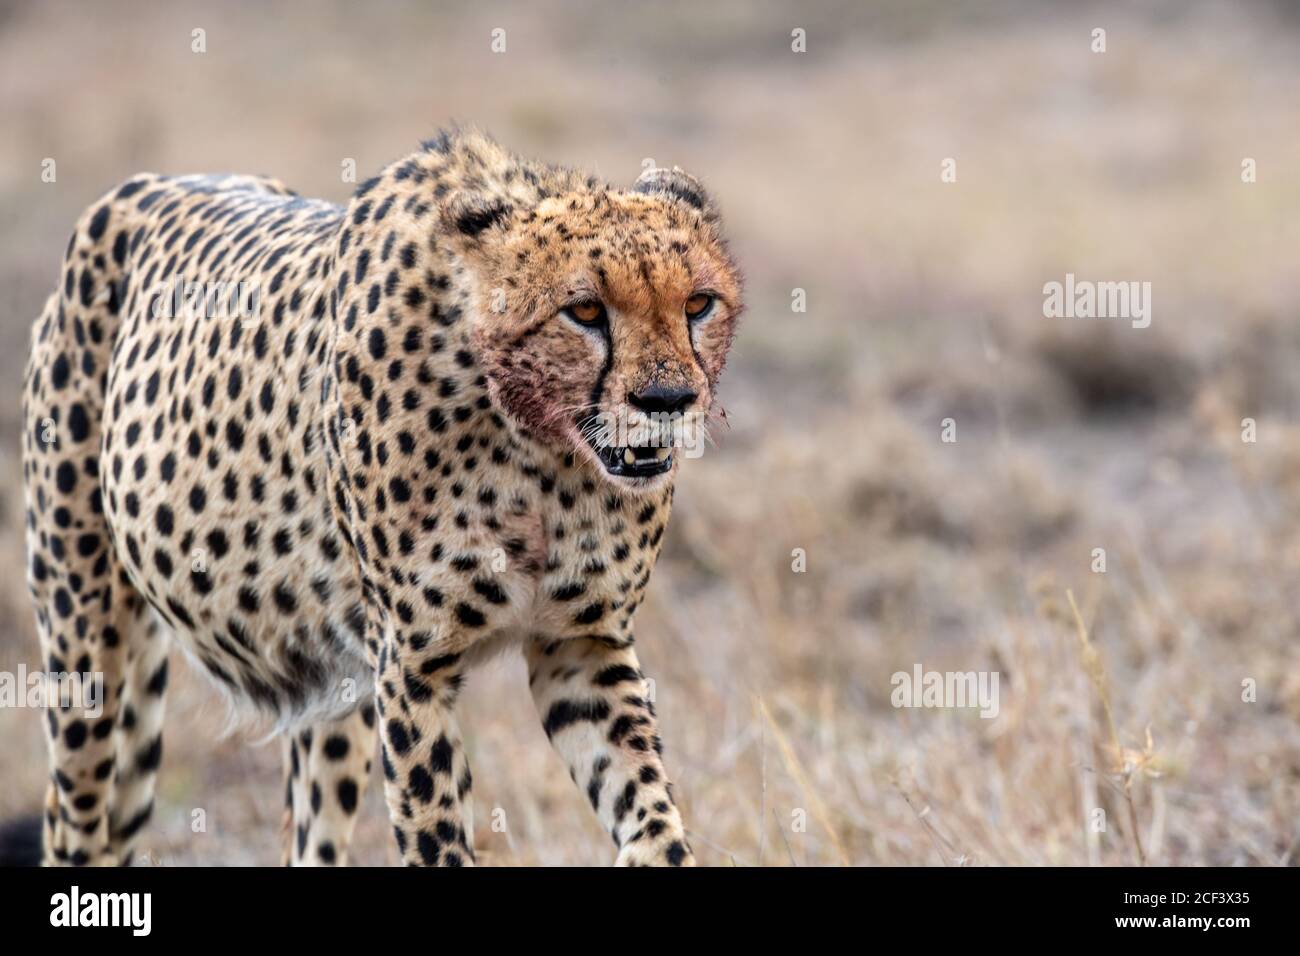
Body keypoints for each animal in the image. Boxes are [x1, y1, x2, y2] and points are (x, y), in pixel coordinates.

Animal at [16, 126, 741, 867]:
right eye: (586, 311)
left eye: (698, 304)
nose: (669, 400)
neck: (538, 450)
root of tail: (145, 185)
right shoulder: (412, 669)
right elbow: (439, 837)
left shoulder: (581, 645)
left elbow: (653, 819)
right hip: (85, 643)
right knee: (72, 818)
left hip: (330, 690)